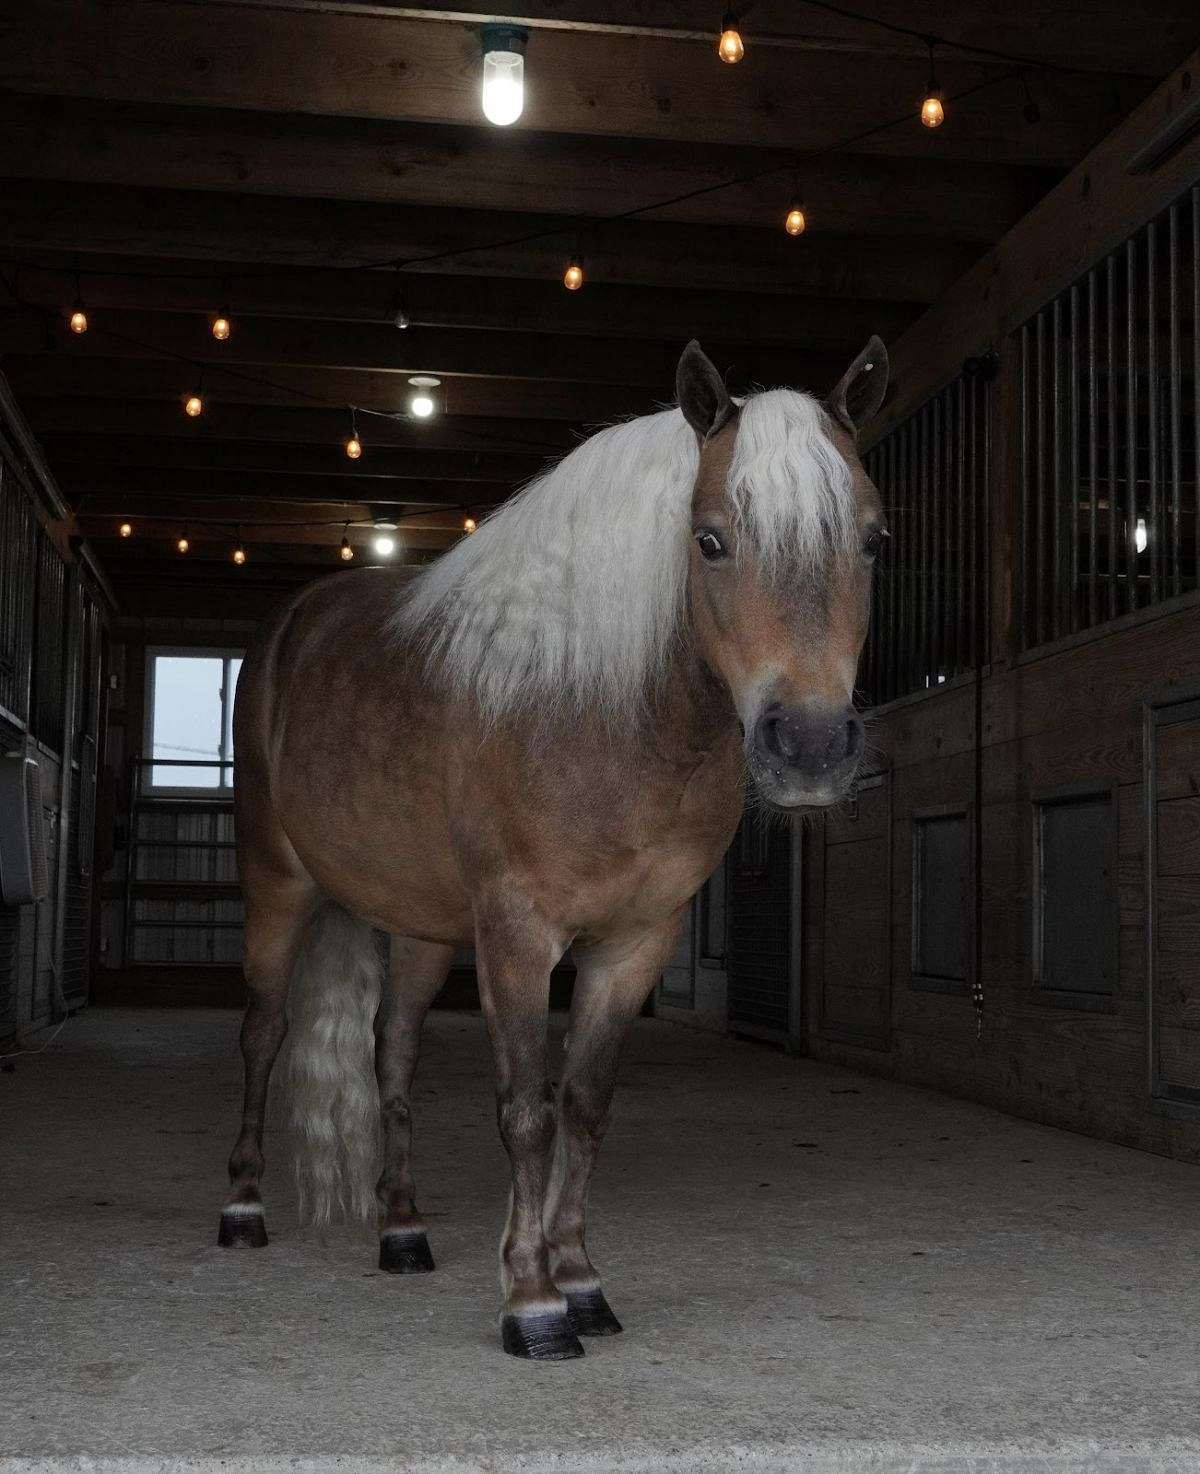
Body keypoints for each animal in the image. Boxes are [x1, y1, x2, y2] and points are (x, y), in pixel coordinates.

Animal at [217, 337, 890, 1361]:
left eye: (871, 539)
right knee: (263, 1033)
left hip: (419, 929)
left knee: (392, 1055)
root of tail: (294, 626)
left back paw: (402, 1230)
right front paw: (531, 1304)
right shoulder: (518, 938)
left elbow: (584, 1107)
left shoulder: (635, 944)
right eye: (710, 540)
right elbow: (527, 1113)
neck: (600, 716)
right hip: (278, 886)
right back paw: (245, 1209)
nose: (810, 747)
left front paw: (581, 1281)